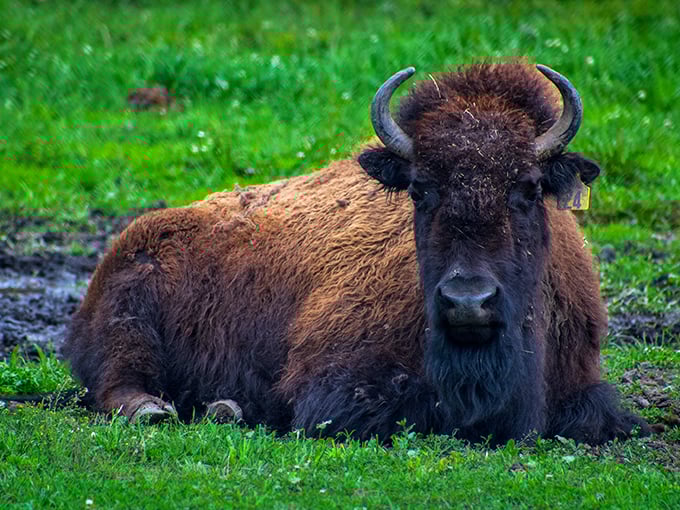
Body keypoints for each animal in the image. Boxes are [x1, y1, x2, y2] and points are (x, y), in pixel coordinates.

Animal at [64, 61, 648, 445]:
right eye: (421, 189)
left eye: (527, 189)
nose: (468, 302)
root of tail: (132, 239)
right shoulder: (333, 385)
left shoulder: (584, 388)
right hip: (129, 320)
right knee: (120, 384)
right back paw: (161, 412)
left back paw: (225, 408)